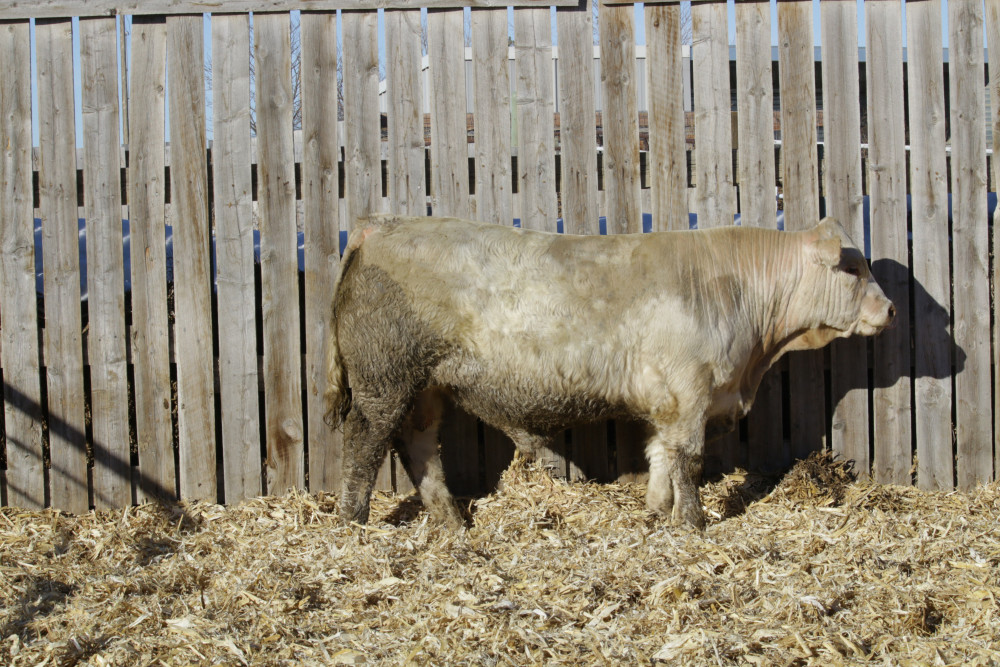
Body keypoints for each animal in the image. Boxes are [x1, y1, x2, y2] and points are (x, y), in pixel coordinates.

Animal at [325, 215, 894, 529]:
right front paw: (693, 522)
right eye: (852, 267)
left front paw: (656, 512)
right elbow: (689, 460)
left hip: (423, 386)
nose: (890, 309)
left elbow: (662, 456)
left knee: (419, 446)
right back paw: (354, 520)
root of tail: (380, 224)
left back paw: (448, 520)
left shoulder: (671, 401)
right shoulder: (691, 391)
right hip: (384, 378)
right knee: (364, 445)